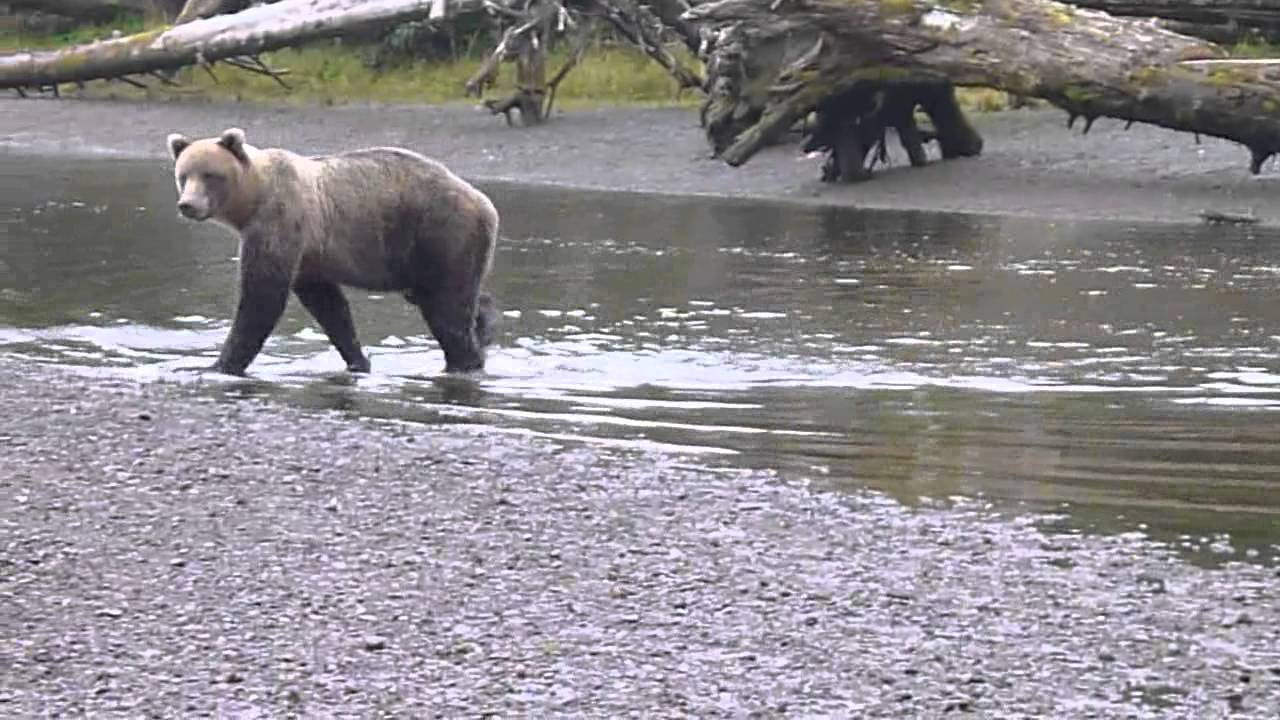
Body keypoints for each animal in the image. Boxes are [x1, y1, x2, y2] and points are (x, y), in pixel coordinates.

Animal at [165, 127, 499, 377]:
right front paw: (357, 360)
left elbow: (262, 296)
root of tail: (484, 201)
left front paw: (218, 365)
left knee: (448, 308)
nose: (187, 205)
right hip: (416, 257)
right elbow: (329, 306)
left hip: (440, 233)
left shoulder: (280, 221)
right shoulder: (310, 254)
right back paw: (484, 325)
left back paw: (464, 361)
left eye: (210, 175)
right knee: (448, 296)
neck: (251, 200)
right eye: (183, 175)